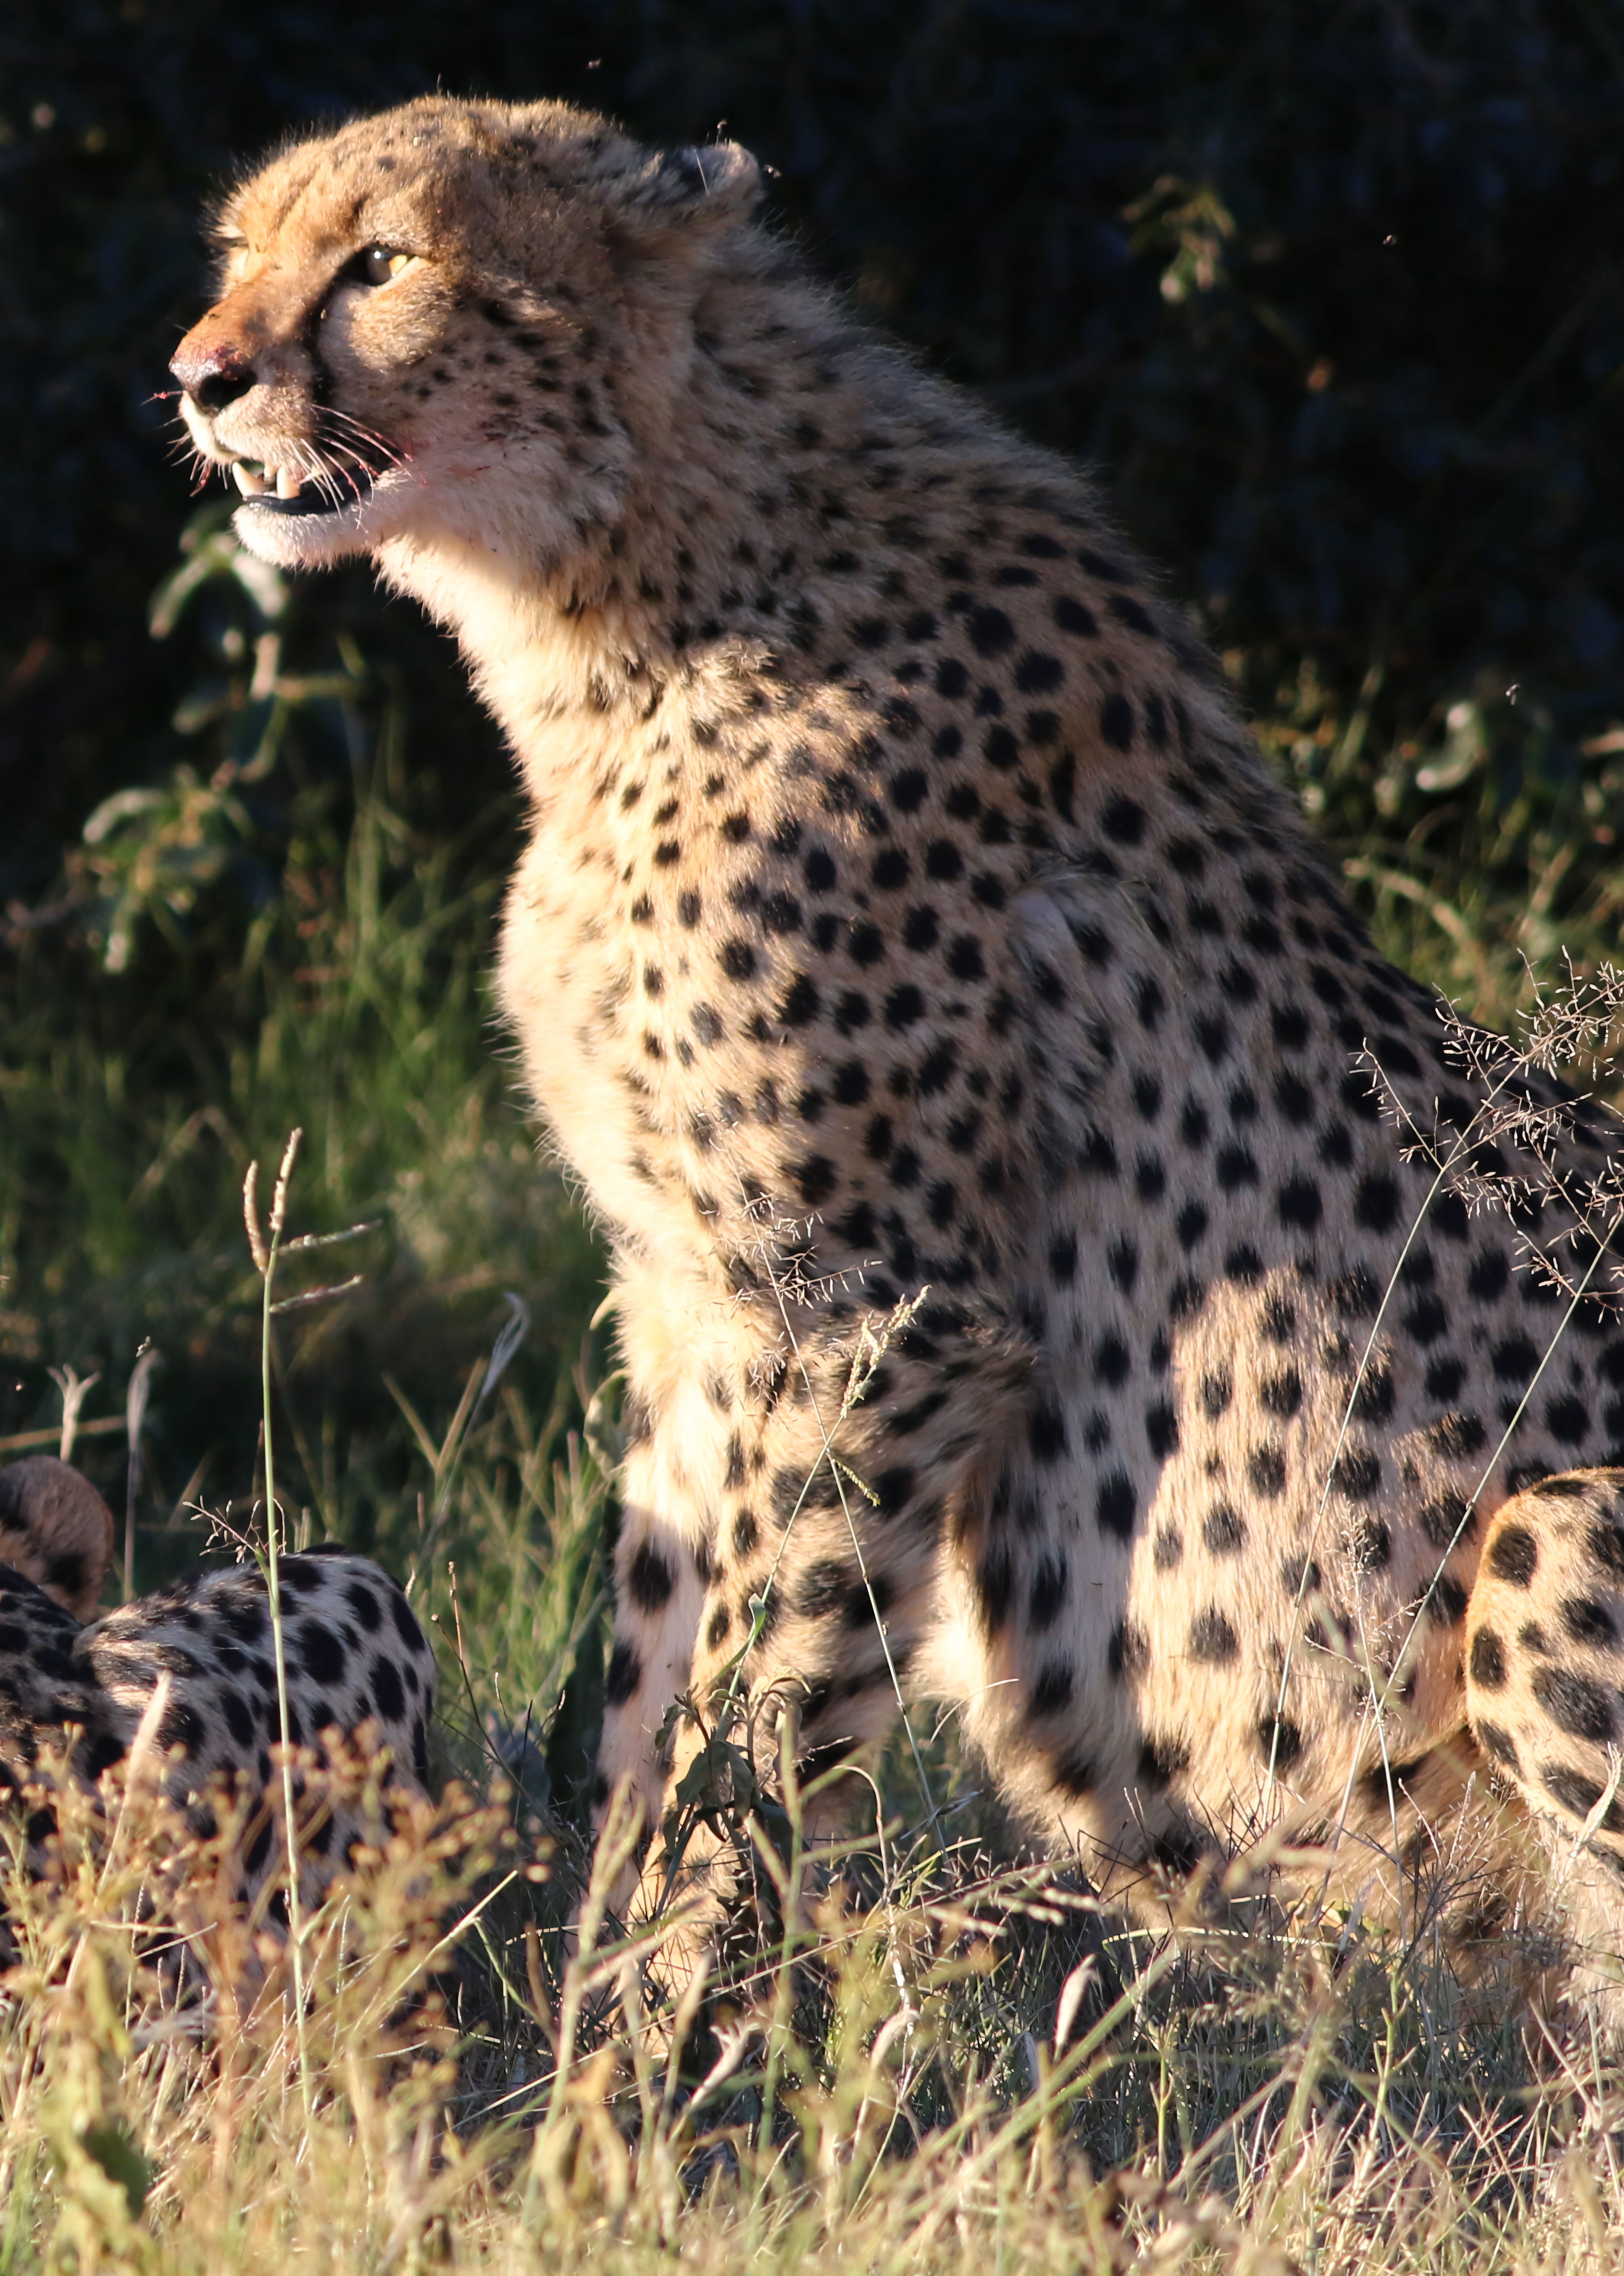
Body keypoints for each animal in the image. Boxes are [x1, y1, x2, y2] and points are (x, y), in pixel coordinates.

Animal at [167, 91, 1624, 2011]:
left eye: (379, 261)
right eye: (237, 250)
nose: (196, 378)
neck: (640, 588)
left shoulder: (875, 1303)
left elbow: (764, 1685)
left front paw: (675, 2006)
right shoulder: (688, 1297)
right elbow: (646, 1679)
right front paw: (592, 2000)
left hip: (1546, 1531)